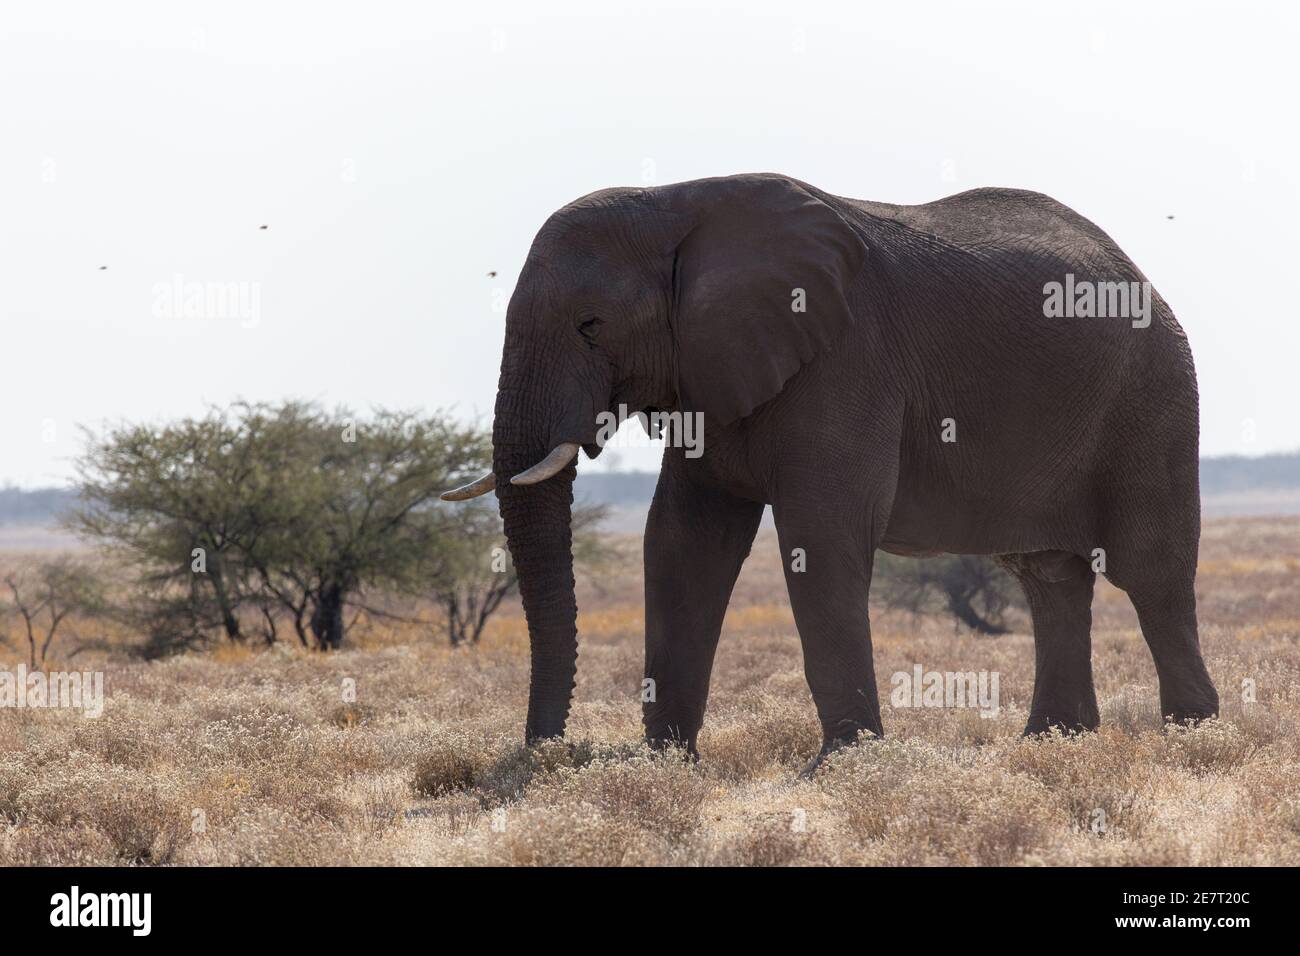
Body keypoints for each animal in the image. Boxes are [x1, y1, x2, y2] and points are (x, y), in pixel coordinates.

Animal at [442, 172, 1219, 770]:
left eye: (591, 326)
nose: (546, 754)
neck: (675, 203)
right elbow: (682, 541)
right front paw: (664, 766)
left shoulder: (847, 359)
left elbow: (820, 536)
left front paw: (842, 765)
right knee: (1049, 577)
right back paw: (1053, 744)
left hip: (1154, 395)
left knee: (1149, 573)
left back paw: (1192, 739)